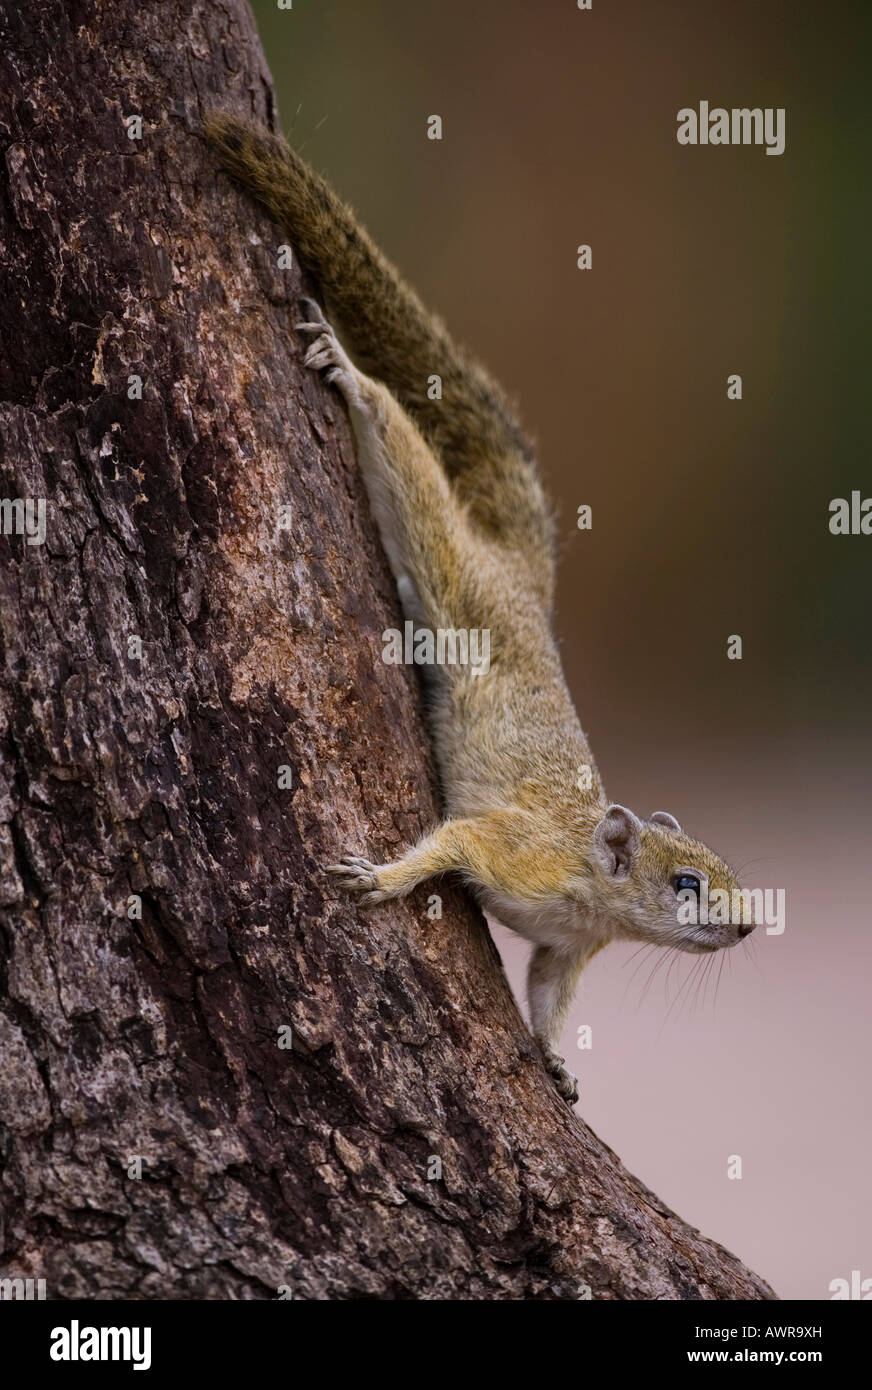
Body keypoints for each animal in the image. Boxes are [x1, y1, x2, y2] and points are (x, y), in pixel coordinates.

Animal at [204, 111, 756, 1106]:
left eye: (729, 868)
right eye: (687, 884)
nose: (747, 924)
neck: (588, 883)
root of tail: (525, 579)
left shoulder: (564, 952)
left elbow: (546, 996)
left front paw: (553, 1058)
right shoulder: (512, 850)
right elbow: (451, 843)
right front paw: (382, 879)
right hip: (451, 565)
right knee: (408, 464)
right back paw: (350, 374)